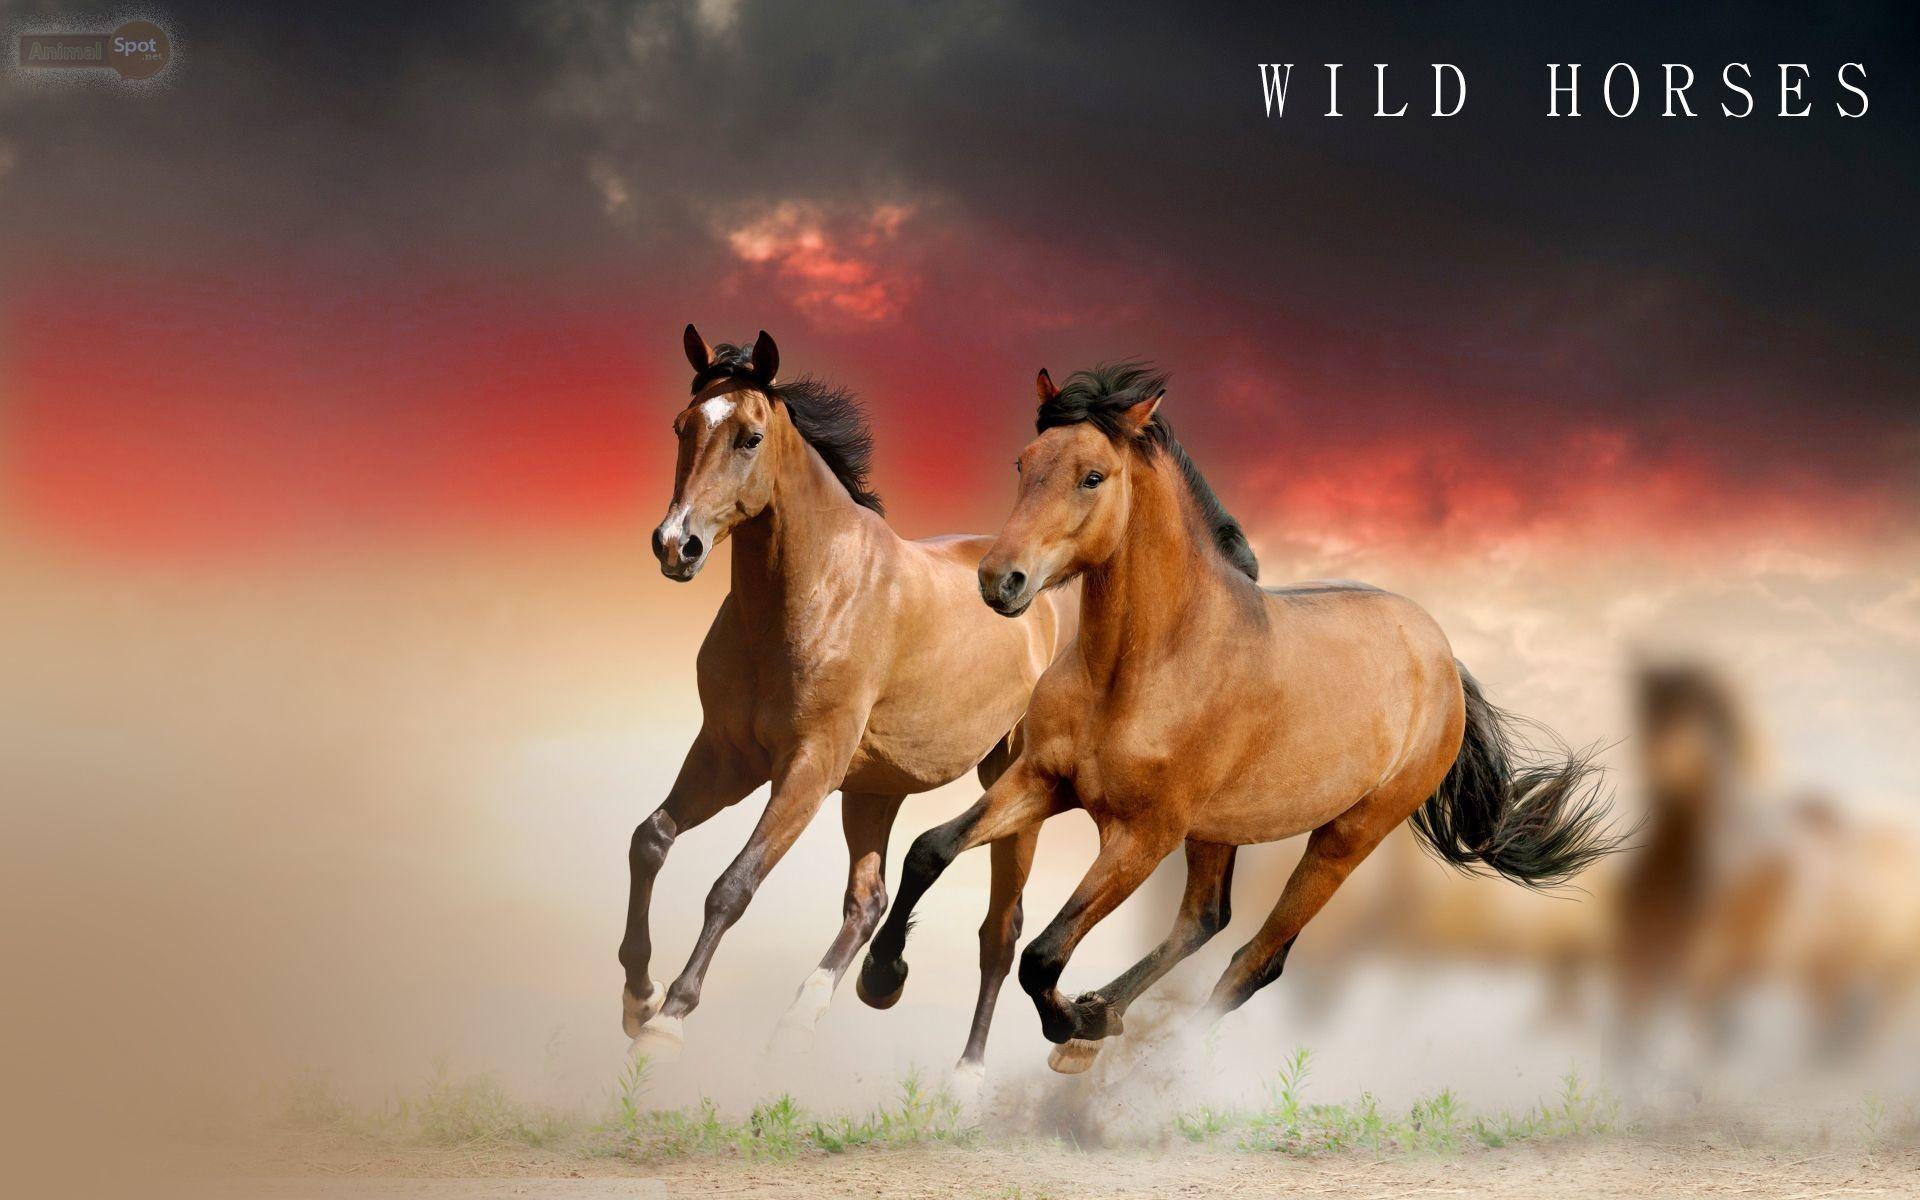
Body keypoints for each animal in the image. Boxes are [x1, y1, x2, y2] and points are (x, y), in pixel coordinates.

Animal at [621, 327, 1068, 1088]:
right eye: (682, 427)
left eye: (749, 437)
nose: (676, 545)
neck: (811, 593)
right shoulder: (727, 756)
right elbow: (650, 839)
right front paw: (637, 996)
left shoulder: (807, 767)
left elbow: (733, 885)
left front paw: (669, 1022)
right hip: (873, 789)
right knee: (869, 902)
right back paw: (813, 1015)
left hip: (1009, 788)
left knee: (999, 932)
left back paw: (966, 1075)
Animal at [858, 362, 1619, 1073]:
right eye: (1023, 462)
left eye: (1093, 476)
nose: (1000, 581)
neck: (1141, 666)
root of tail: (1443, 659)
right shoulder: (1043, 780)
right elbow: (930, 849)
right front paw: (882, 978)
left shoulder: (1143, 835)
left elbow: (1043, 954)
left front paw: (1069, 1022)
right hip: (1218, 829)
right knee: (1205, 919)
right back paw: (1104, 1015)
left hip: (1345, 837)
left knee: (1256, 959)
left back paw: (1128, 1056)